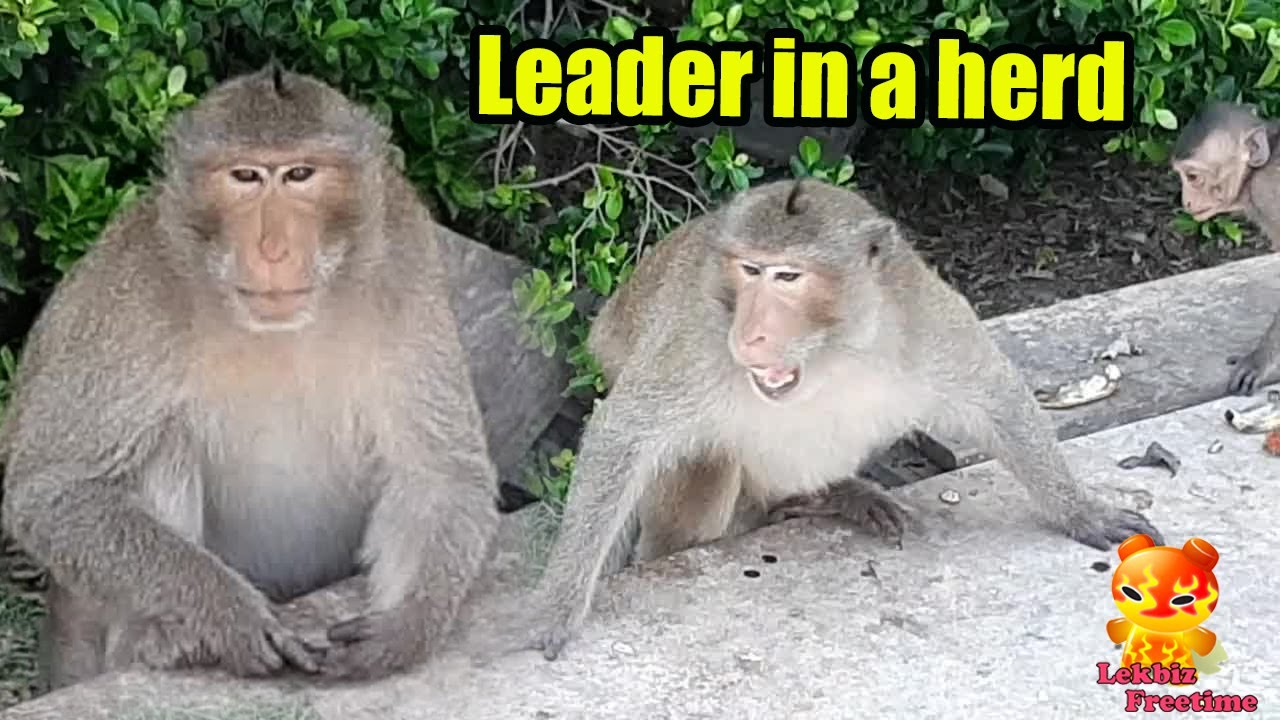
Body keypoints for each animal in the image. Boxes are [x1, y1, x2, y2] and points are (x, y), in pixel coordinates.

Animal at [0, 65, 500, 686]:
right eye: (245, 176)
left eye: (300, 174)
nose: (273, 248)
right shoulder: (133, 287)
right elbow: (55, 491)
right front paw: (230, 615)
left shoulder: (408, 261)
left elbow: (443, 476)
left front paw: (404, 629)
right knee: (163, 444)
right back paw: (165, 642)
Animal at [514, 178, 1163, 660]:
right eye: (749, 271)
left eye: (788, 277)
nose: (751, 334)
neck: (827, 353)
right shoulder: (698, 340)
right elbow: (625, 432)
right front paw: (554, 607)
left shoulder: (918, 314)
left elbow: (995, 395)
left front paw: (1081, 510)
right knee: (706, 463)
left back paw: (834, 495)